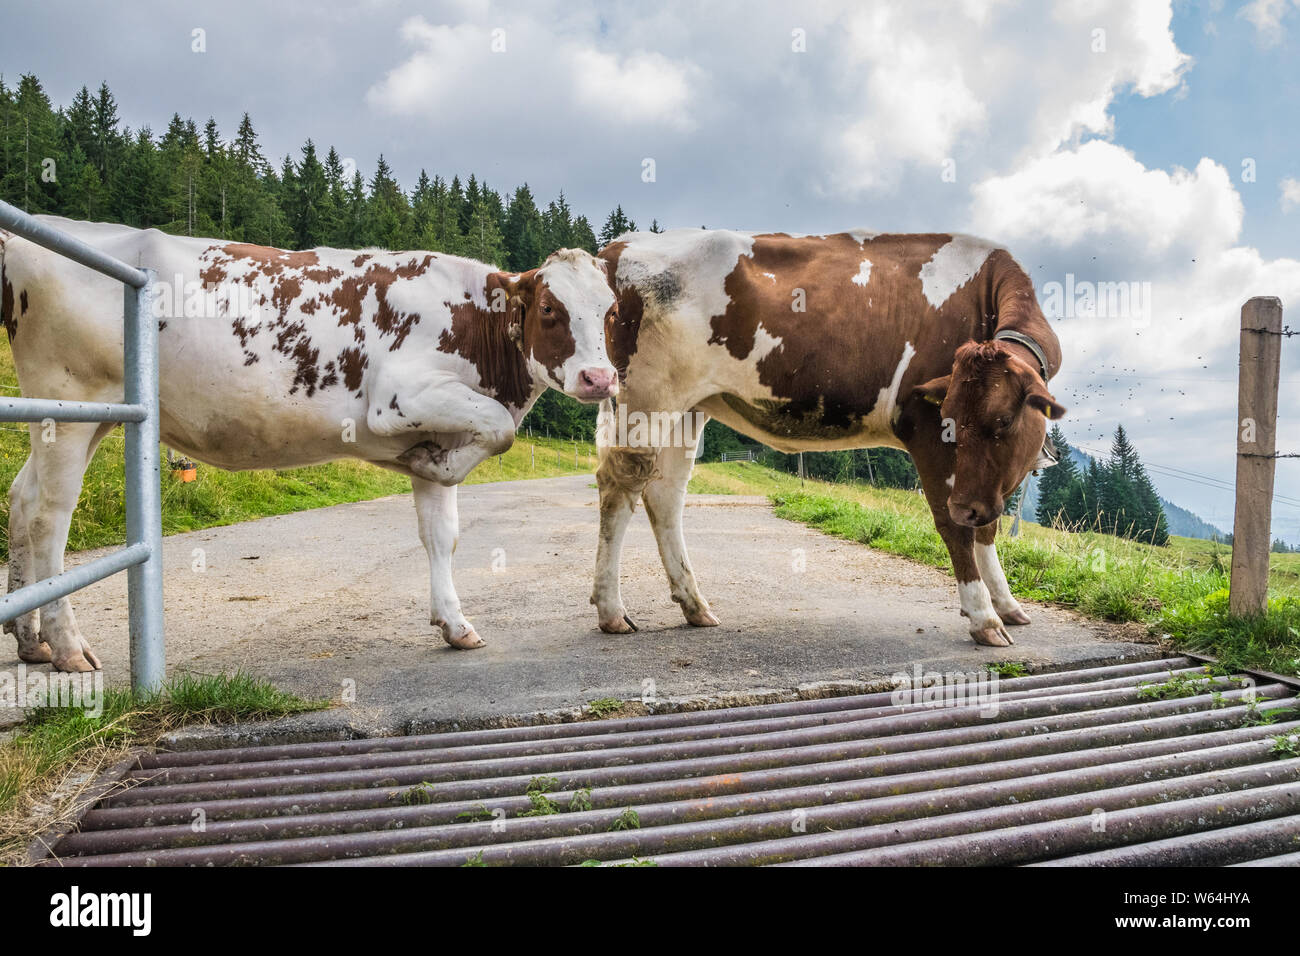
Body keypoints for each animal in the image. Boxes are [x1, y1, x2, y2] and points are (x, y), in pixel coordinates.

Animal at [0, 215, 618, 672]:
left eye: (611, 311)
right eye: (549, 308)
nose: (600, 378)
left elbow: (442, 535)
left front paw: (455, 622)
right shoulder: (399, 397)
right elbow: (500, 429)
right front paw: (434, 460)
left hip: (84, 417)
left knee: (23, 498)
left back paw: (31, 640)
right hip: (69, 401)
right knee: (50, 515)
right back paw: (68, 645)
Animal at [593, 229, 1065, 648]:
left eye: (1003, 421)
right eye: (949, 417)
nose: (967, 505)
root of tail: (620, 247)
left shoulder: (984, 480)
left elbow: (987, 527)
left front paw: (1007, 604)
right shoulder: (923, 426)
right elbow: (955, 527)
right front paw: (984, 617)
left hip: (688, 408)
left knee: (665, 495)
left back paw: (695, 605)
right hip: (647, 398)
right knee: (620, 486)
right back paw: (612, 610)